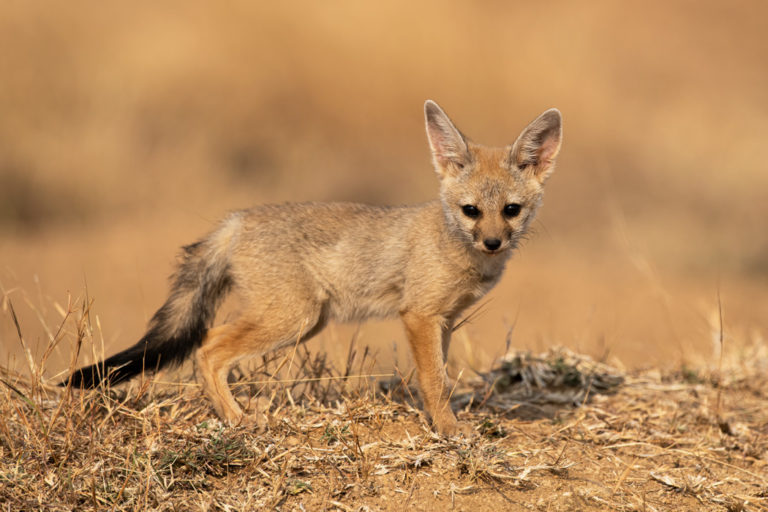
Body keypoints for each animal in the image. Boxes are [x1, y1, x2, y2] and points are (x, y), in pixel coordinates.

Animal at [63, 100, 562, 436]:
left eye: (511, 211)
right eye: (471, 211)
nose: (494, 242)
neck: (455, 247)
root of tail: (237, 219)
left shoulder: (444, 322)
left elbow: (437, 378)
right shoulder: (419, 316)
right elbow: (435, 382)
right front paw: (449, 429)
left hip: (306, 323)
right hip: (292, 319)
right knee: (207, 347)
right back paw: (236, 418)